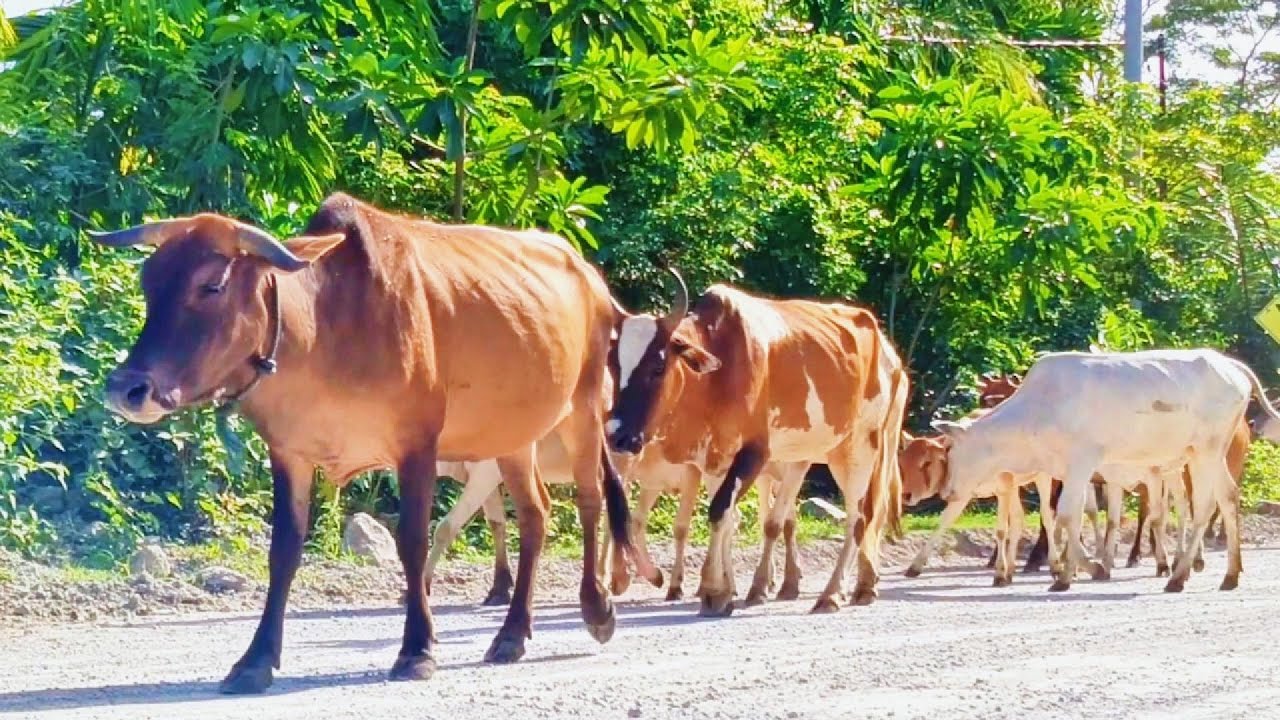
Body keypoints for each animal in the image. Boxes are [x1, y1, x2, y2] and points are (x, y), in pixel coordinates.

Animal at [92, 193, 654, 693]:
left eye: (211, 284)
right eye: (148, 281)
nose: (126, 388)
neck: (327, 332)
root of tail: (590, 276)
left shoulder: (417, 445)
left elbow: (413, 542)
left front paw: (417, 650)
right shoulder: (290, 453)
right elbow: (284, 550)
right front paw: (255, 661)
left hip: (583, 410)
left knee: (588, 499)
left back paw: (597, 608)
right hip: (514, 435)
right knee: (535, 514)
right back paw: (512, 634)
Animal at [604, 275, 907, 616]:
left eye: (657, 367)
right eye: (613, 365)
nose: (616, 435)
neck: (718, 373)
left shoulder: (753, 453)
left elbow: (720, 511)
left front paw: (713, 590)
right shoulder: (714, 460)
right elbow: (727, 518)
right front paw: (725, 590)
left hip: (859, 450)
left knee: (859, 519)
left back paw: (832, 594)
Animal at [931, 348, 1280, 593]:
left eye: (951, 451)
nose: (946, 492)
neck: (1036, 412)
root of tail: (1232, 366)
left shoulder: (1081, 461)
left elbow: (1066, 516)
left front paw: (1079, 570)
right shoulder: (1069, 472)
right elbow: (1073, 517)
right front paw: (1075, 570)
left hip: (1205, 451)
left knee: (1203, 506)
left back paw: (1178, 576)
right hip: (1206, 452)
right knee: (1228, 496)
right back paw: (1230, 574)